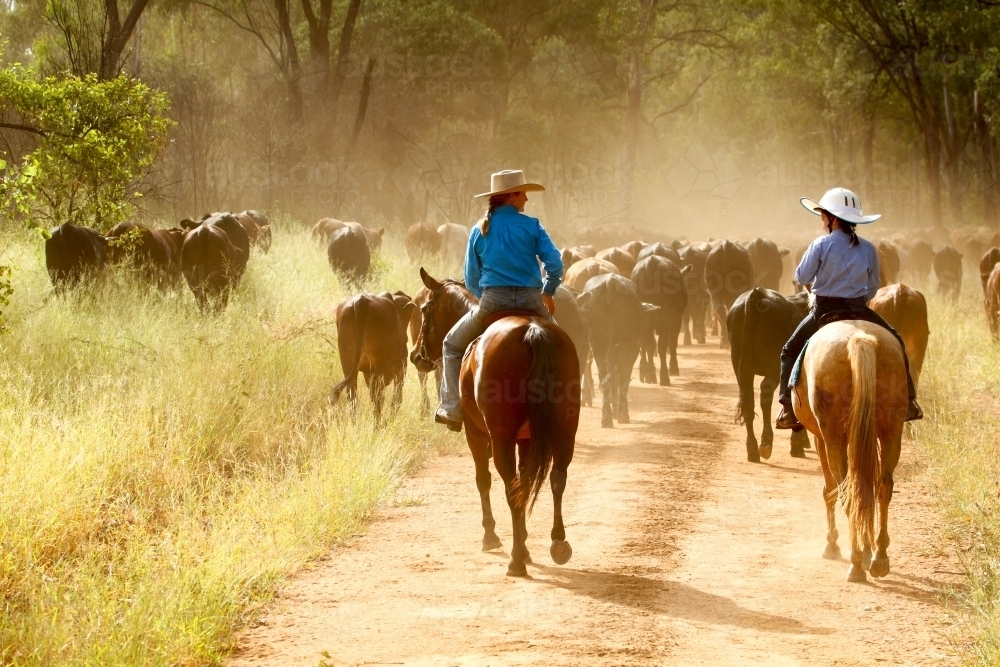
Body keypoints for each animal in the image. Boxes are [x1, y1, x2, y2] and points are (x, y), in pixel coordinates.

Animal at [415, 268, 581, 577]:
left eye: (424, 309)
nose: (416, 355)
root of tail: (532, 332)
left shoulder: (476, 434)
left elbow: (483, 479)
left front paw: (491, 537)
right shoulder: (527, 439)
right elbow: (527, 482)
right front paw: (524, 540)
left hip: (501, 437)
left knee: (510, 487)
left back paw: (516, 560)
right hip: (565, 431)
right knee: (555, 478)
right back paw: (557, 543)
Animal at [792, 320, 905, 583]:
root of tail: (859, 339)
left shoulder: (821, 439)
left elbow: (830, 491)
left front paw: (833, 545)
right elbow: (867, 490)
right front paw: (868, 548)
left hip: (833, 437)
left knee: (847, 492)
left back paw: (855, 564)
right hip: (891, 431)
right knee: (881, 488)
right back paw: (879, 558)